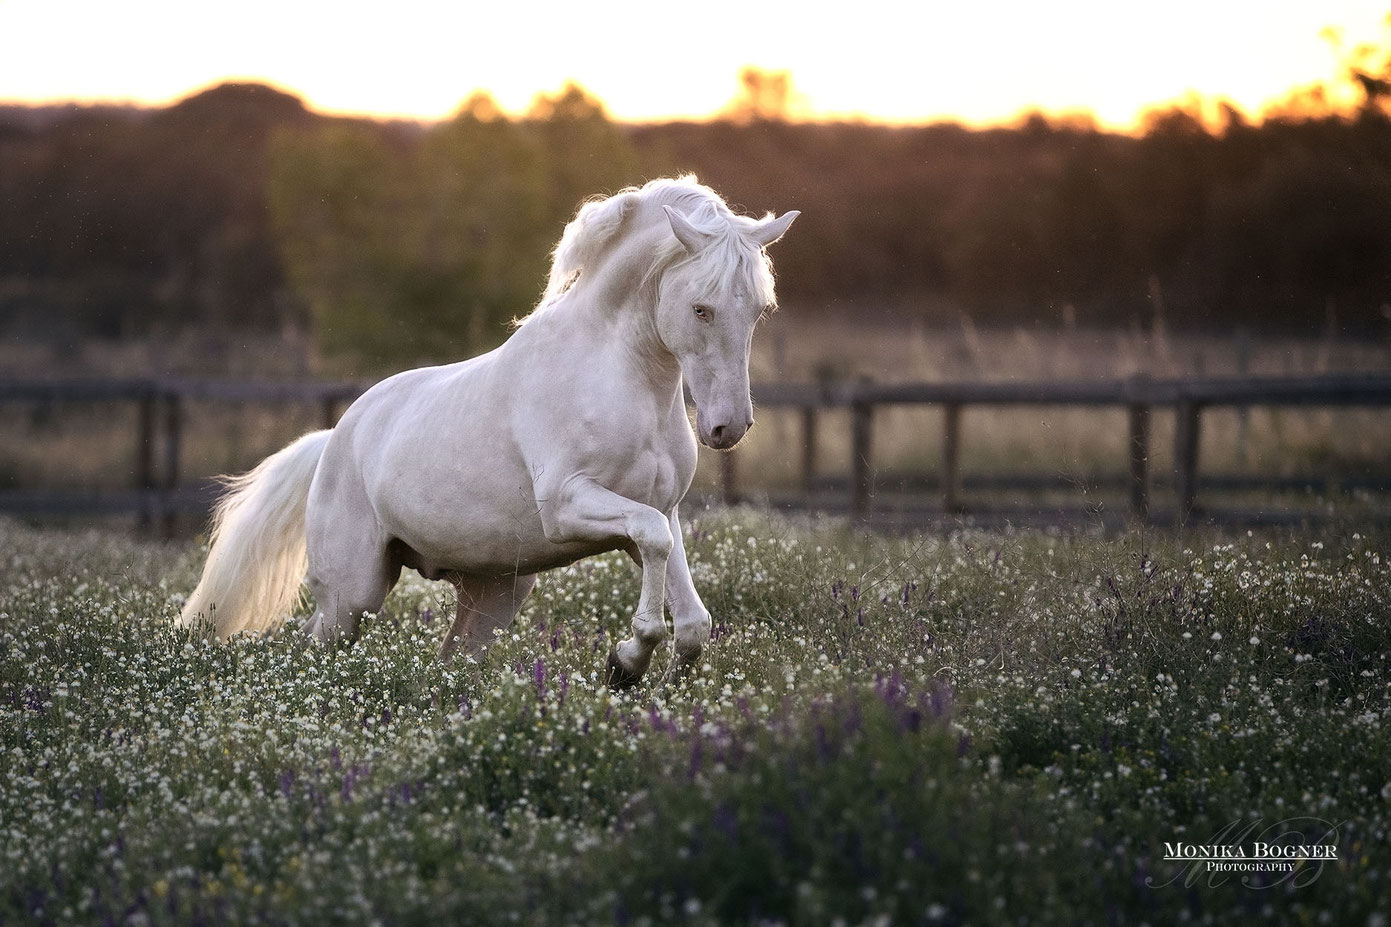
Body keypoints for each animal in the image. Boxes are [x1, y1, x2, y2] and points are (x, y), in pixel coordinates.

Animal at [177, 176, 798, 687]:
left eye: (759, 310)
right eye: (701, 309)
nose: (728, 427)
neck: (619, 375)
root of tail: (335, 438)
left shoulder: (660, 511)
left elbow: (691, 616)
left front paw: (642, 672)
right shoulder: (570, 504)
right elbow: (651, 545)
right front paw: (626, 662)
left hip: (494, 596)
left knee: (449, 665)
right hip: (351, 596)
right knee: (315, 650)